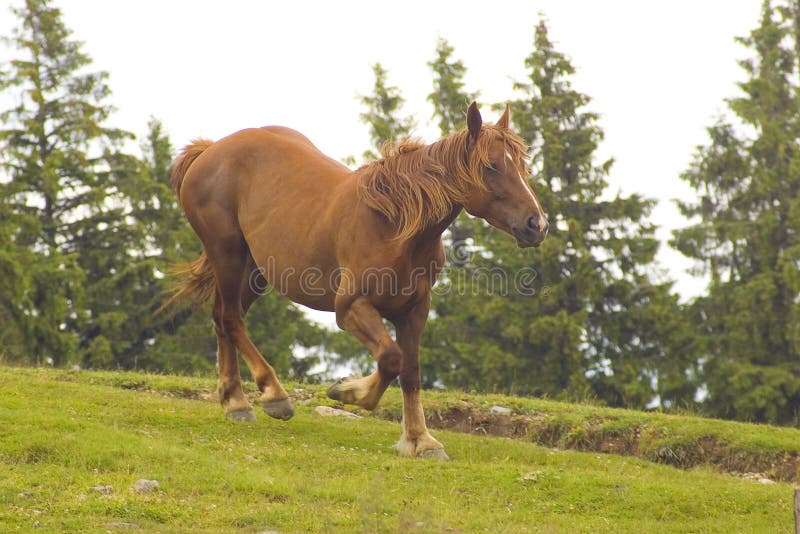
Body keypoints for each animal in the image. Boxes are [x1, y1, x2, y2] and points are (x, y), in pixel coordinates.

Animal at [165, 102, 548, 460]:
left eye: (521, 164)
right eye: (492, 165)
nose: (537, 224)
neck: (393, 224)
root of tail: (211, 150)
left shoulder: (414, 311)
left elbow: (410, 370)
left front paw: (420, 440)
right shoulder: (350, 307)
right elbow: (390, 358)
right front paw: (348, 391)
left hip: (256, 272)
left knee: (223, 318)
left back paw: (235, 401)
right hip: (227, 255)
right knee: (230, 318)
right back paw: (272, 395)